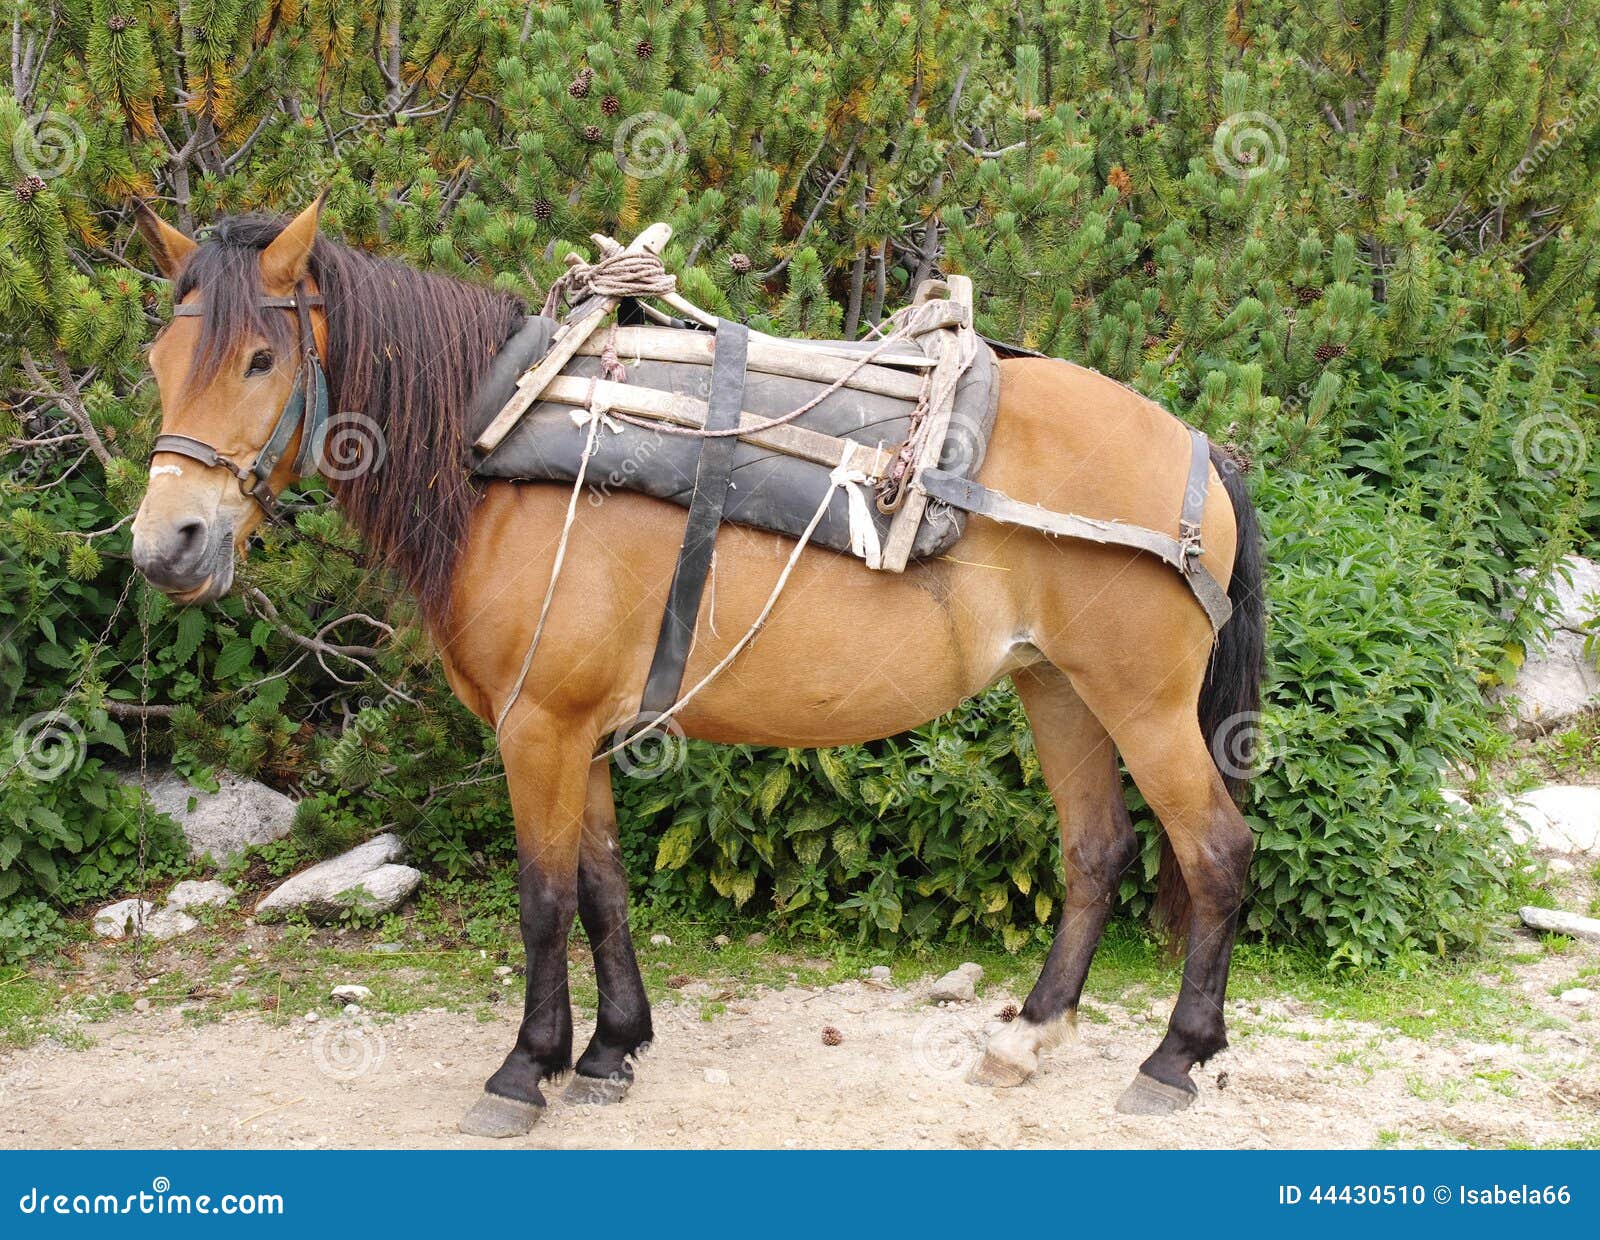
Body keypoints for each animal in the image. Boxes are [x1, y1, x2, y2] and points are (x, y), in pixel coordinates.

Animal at [128, 196, 1264, 1138]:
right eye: (157, 360)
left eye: (259, 359)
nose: (166, 544)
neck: (497, 442)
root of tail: (1199, 448)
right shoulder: (577, 729)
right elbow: (602, 887)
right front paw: (609, 1048)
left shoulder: (538, 725)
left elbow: (543, 899)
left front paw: (524, 1068)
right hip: (1057, 688)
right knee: (1096, 852)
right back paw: (1026, 1036)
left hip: (1143, 704)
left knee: (1216, 852)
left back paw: (1174, 1059)